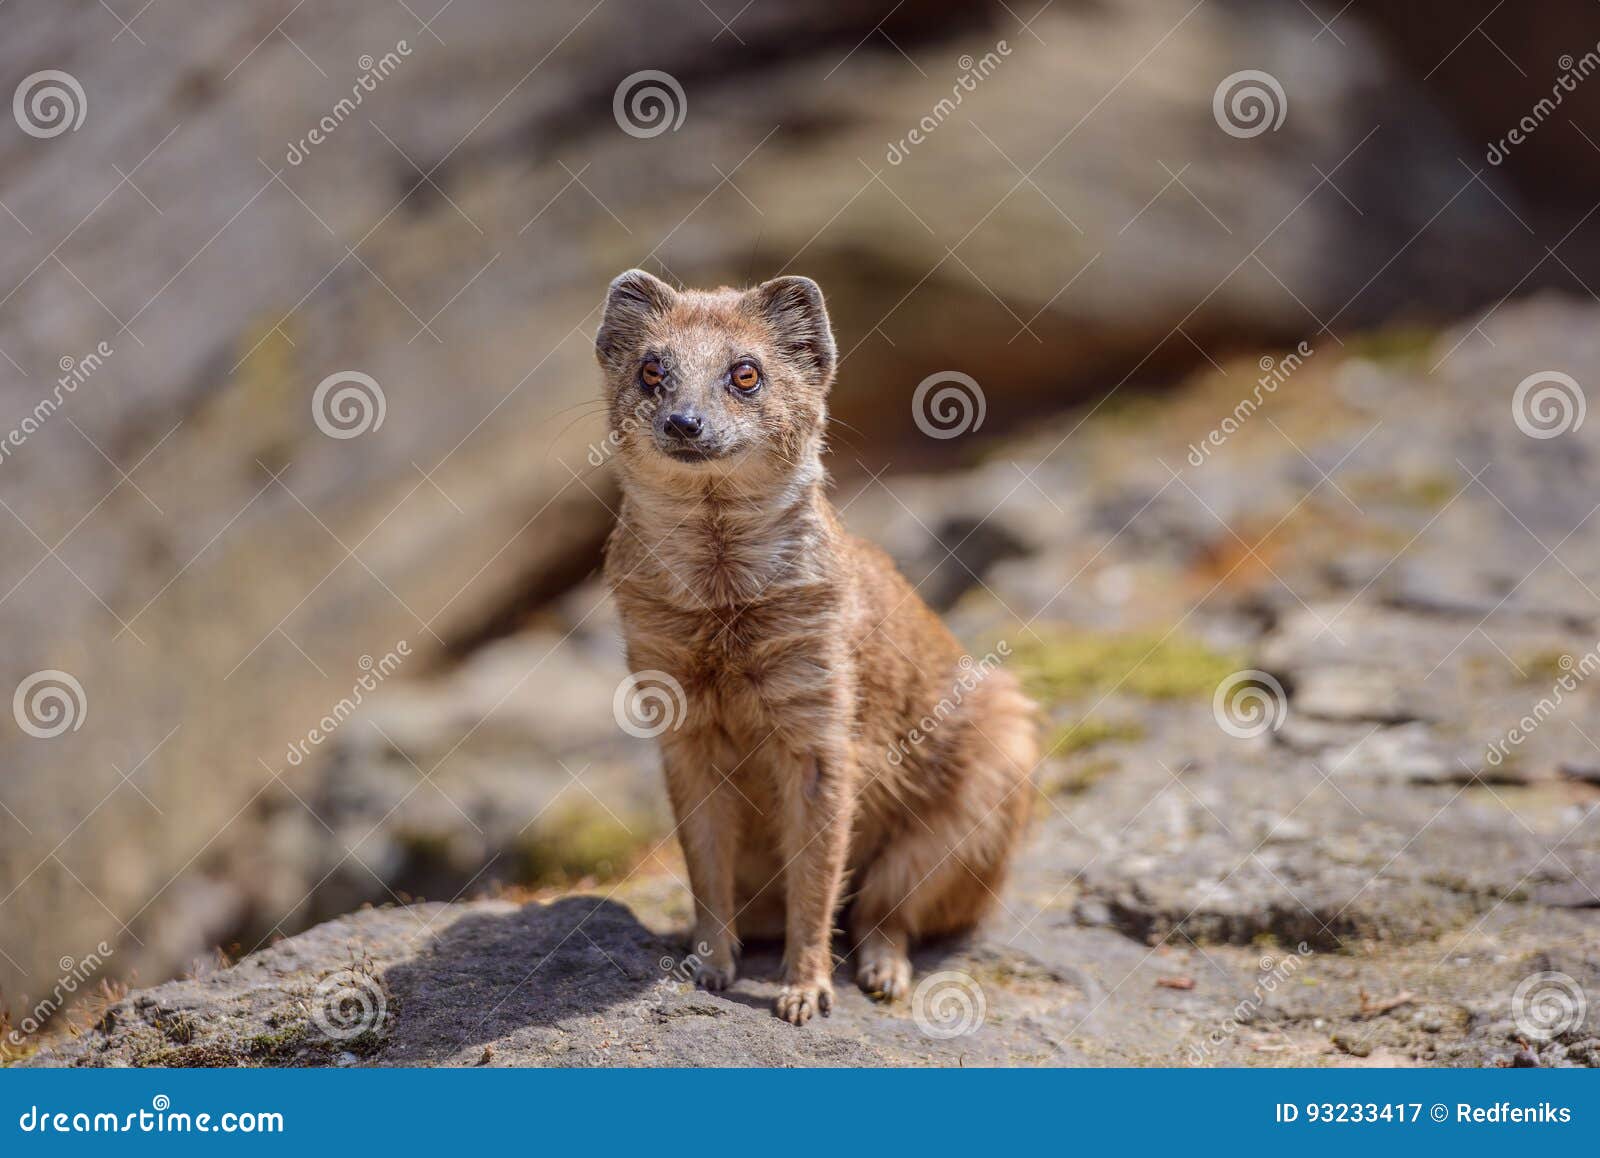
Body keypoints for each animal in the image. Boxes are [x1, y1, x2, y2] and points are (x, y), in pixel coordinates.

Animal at [595, 269, 1036, 1025]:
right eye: (651, 369)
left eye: (746, 373)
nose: (683, 422)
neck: (724, 612)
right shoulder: (674, 714)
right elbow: (703, 862)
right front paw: (709, 964)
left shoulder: (824, 716)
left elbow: (819, 872)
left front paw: (804, 992)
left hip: (999, 766)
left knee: (890, 912)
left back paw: (885, 973)